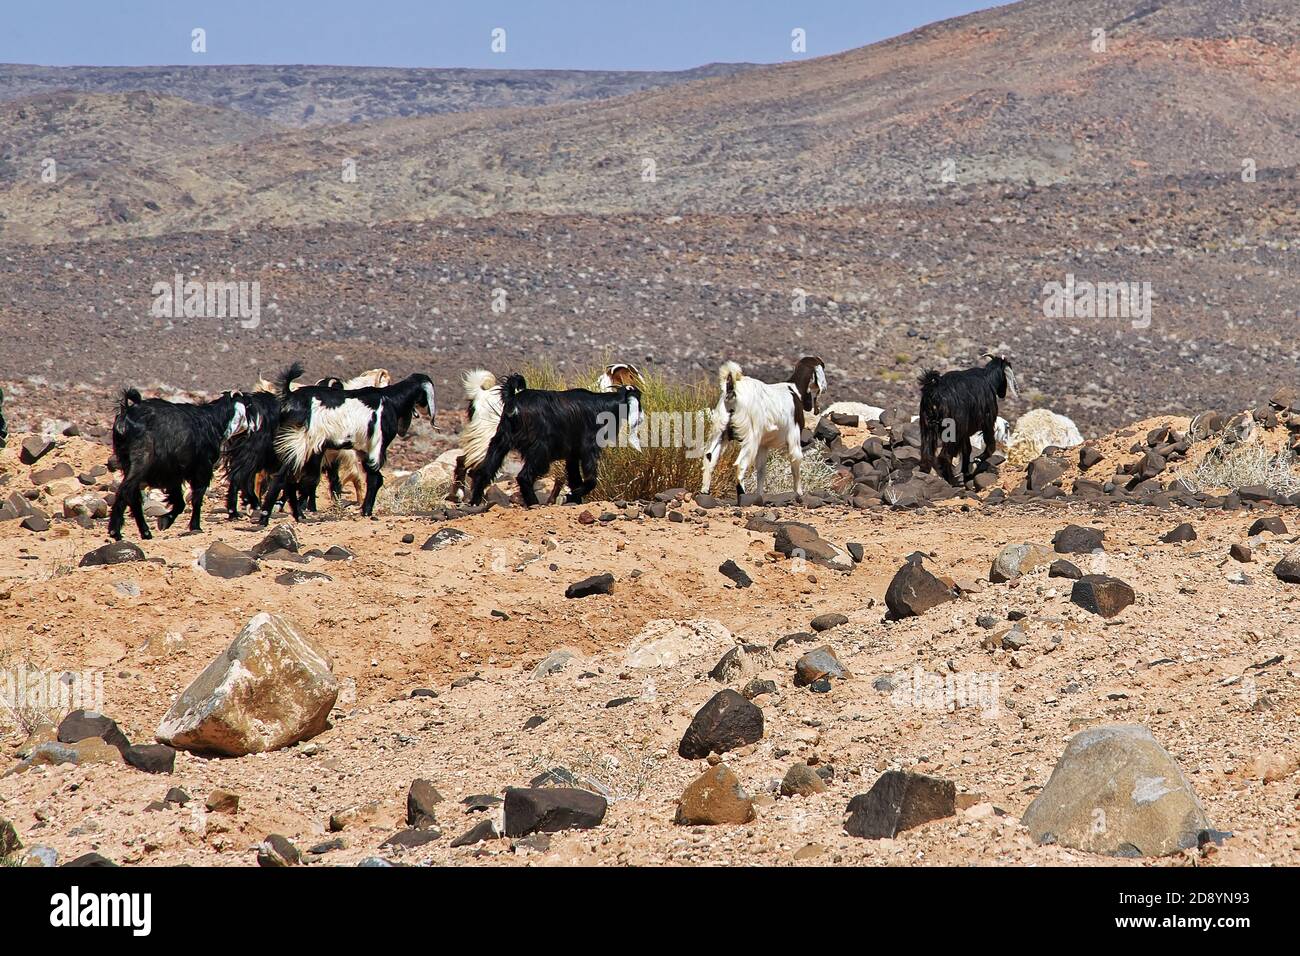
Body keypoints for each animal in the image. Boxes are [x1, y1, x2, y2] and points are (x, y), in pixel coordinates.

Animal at [108, 388, 251, 540]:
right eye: (248, 406)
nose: (250, 429)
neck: (213, 420)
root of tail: (126, 414)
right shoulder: (202, 468)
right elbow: (197, 497)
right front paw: (193, 526)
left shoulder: (173, 474)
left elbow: (180, 502)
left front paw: (165, 520)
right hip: (142, 458)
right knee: (127, 490)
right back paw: (128, 531)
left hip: (126, 461)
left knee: (129, 493)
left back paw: (130, 532)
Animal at [257, 363, 434, 523]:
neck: (390, 399)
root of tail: (290, 396)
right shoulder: (375, 447)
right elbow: (373, 479)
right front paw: (366, 511)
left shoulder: (360, 451)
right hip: (305, 446)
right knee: (294, 479)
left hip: (295, 446)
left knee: (283, 478)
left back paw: (271, 517)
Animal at [451, 363, 642, 504]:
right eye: (633, 374)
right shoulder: (587, 449)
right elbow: (589, 480)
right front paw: (568, 497)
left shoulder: (572, 454)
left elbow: (574, 479)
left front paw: (572, 500)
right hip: (534, 449)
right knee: (519, 475)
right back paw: (532, 503)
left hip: (499, 442)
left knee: (481, 470)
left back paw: (474, 501)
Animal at [700, 361, 804, 500]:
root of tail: (732, 390)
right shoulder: (794, 438)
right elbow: (795, 462)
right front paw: (799, 493)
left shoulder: (763, 445)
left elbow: (761, 470)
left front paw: (760, 495)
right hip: (750, 437)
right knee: (740, 464)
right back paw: (742, 494)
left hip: (720, 430)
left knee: (709, 456)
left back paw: (705, 491)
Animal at [918, 354, 1017, 487]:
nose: (1002, 393)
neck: (988, 378)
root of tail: (934, 392)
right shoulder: (987, 422)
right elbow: (990, 445)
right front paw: (977, 460)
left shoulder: (965, 431)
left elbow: (967, 450)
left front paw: (967, 472)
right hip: (953, 430)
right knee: (944, 456)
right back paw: (952, 481)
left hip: (927, 427)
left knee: (927, 452)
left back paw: (924, 474)